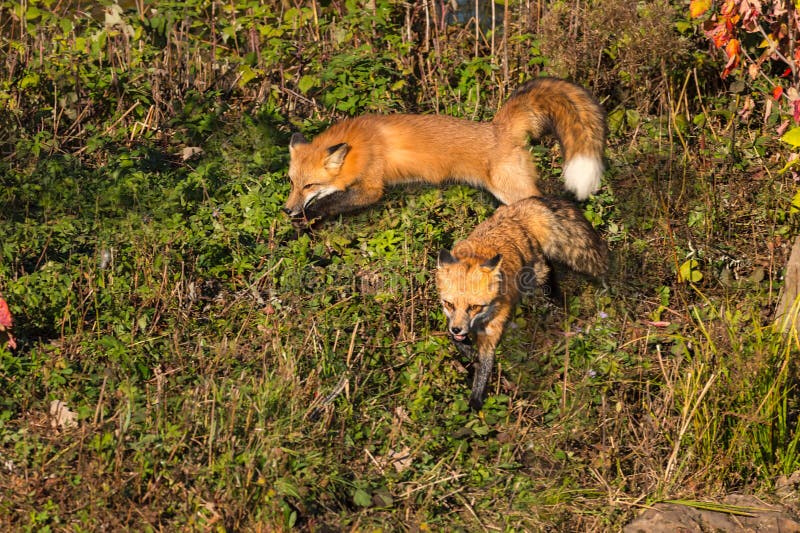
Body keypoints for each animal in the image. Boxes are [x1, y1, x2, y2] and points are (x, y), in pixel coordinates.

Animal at [284, 77, 606, 224]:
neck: (360, 144)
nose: (286, 210)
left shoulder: (372, 187)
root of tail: (499, 126)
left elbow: (332, 201)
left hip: (514, 191)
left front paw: (308, 217)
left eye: (309, 185)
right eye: (292, 183)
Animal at [435, 196, 608, 410]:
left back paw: (556, 302)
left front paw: (476, 401)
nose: (458, 329)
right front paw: (467, 350)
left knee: (549, 272)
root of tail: (519, 211)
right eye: (449, 304)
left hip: (536, 275)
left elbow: (484, 367)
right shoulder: (452, 320)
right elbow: (457, 341)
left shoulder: (492, 330)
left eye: (474, 307)